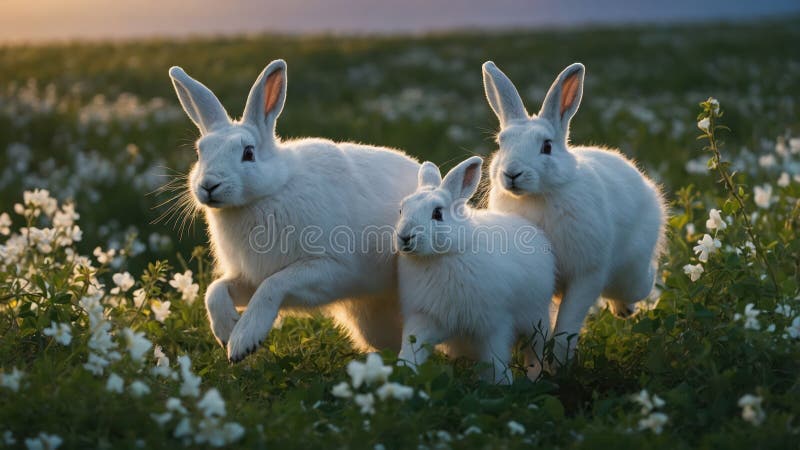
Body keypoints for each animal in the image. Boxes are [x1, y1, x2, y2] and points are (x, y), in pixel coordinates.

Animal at [168, 59, 421, 362]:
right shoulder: (248, 277)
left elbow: (273, 285)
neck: (267, 194)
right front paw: (226, 331)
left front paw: (243, 341)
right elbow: (215, 290)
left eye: (248, 153)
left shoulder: (330, 268)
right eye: (200, 153)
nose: (208, 185)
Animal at [395, 156, 555, 384]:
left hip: (536, 319)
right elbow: (412, 346)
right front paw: (405, 371)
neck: (445, 255)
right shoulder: (425, 317)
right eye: (401, 210)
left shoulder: (494, 324)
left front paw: (503, 384)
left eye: (437, 213)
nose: (405, 236)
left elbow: (495, 359)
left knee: (536, 350)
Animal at [481, 61, 666, 366]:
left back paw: (625, 310)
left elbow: (568, 322)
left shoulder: (587, 274)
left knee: (642, 282)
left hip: (629, 274)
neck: (538, 196)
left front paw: (558, 363)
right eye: (501, 143)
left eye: (546, 146)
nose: (512, 173)